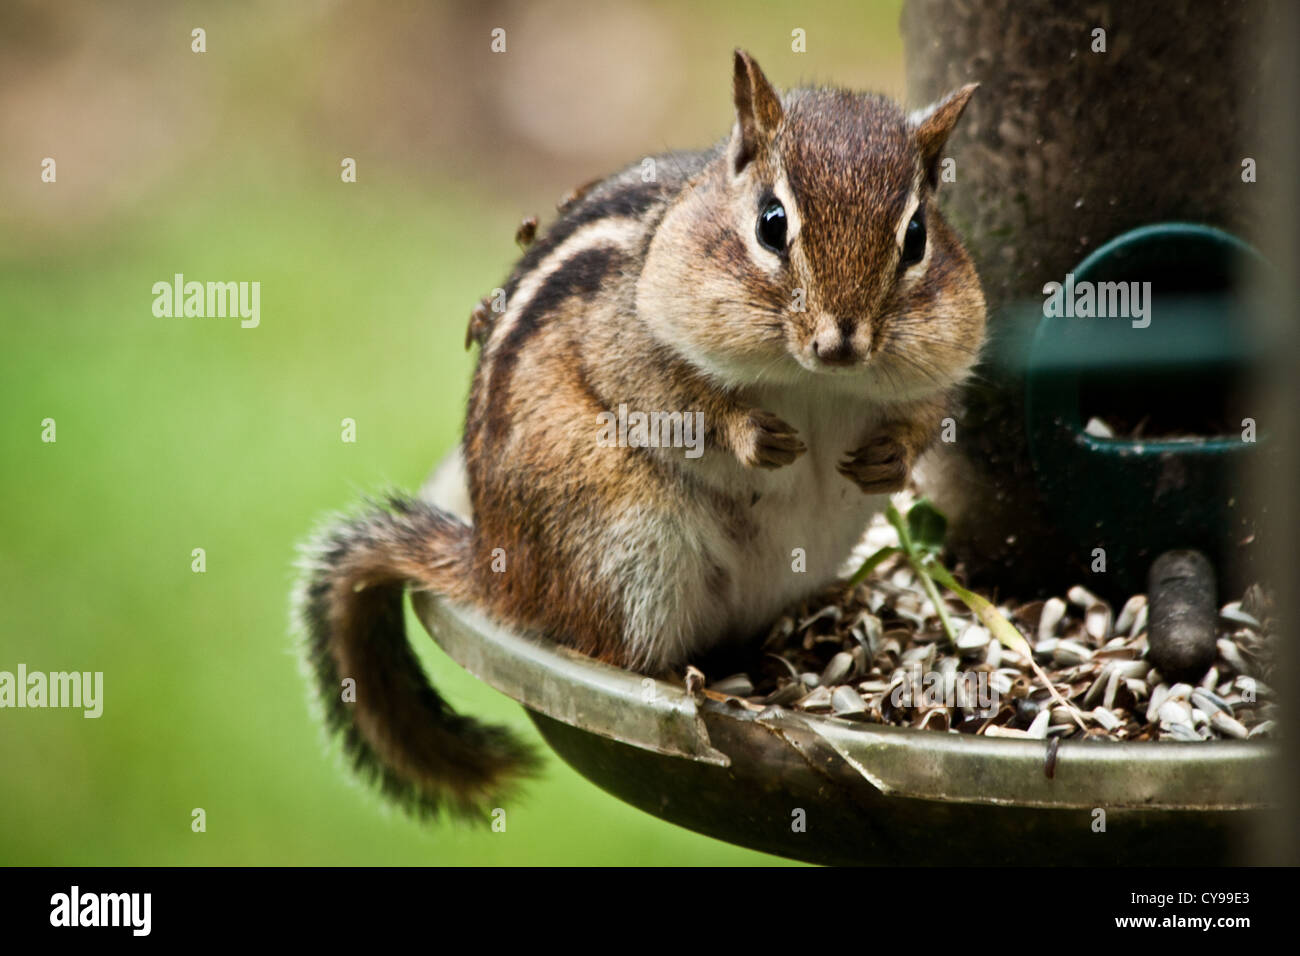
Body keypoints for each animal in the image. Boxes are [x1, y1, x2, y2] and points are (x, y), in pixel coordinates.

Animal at [296, 50, 986, 819]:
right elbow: (676, 399)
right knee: (619, 652)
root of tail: (499, 571)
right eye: (772, 223)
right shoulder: (627, 337)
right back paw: (707, 687)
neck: (813, 381)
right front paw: (756, 437)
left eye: (918, 237)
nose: (842, 343)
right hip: (626, 544)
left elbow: (925, 413)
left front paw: (886, 457)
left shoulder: (939, 363)